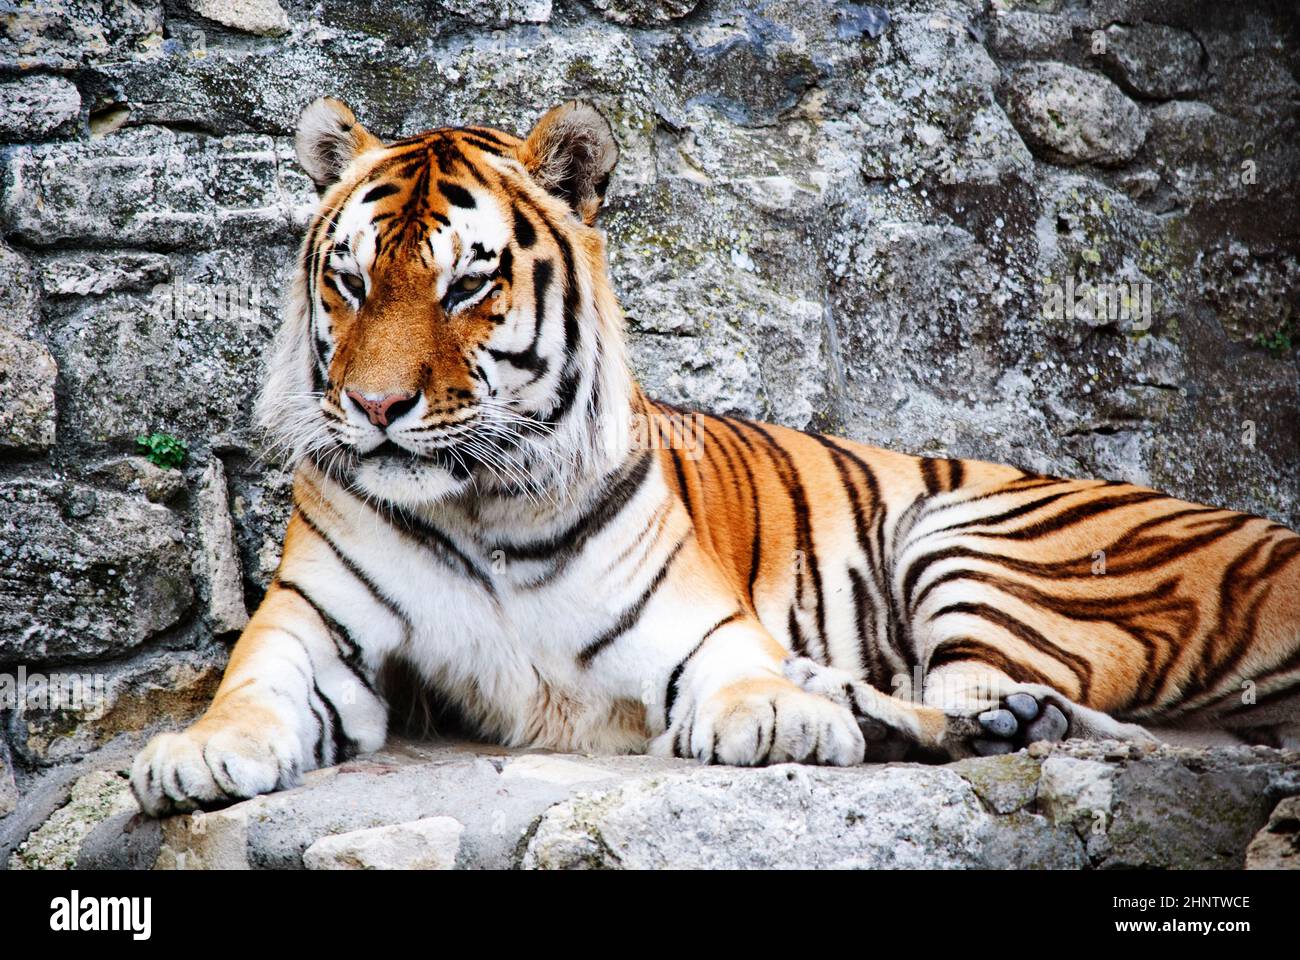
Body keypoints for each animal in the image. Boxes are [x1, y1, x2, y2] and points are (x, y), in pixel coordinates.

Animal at [131, 97, 1300, 816]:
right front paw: (191, 751)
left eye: (466, 284)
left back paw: (950, 716)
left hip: (973, 541)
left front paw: (774, 716)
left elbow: (739, 677)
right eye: (352, 280)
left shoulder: (698, 627)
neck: (480, 505)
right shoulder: (312, 630)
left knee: (1085, 720)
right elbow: (247, 688)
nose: (374, 407)